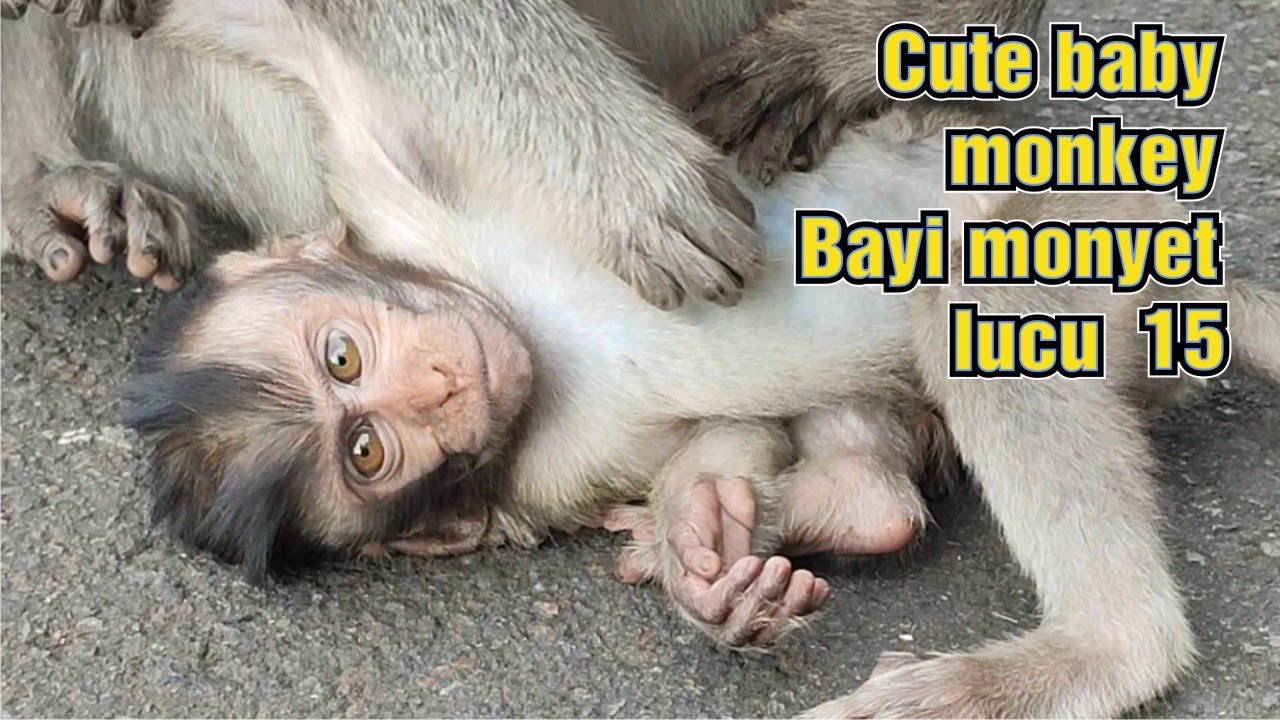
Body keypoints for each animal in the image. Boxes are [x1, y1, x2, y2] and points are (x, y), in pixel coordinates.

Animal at [18, 1, 1279, 717]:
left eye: (342, 355)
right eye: (368, 451)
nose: (436, 384)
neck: (520, 328)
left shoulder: (395, 174)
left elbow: (274, 33)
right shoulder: (548, 465)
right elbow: (707, 449)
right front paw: (711, 562)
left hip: (1085, 216)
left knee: (975, 285)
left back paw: (1098, 650)